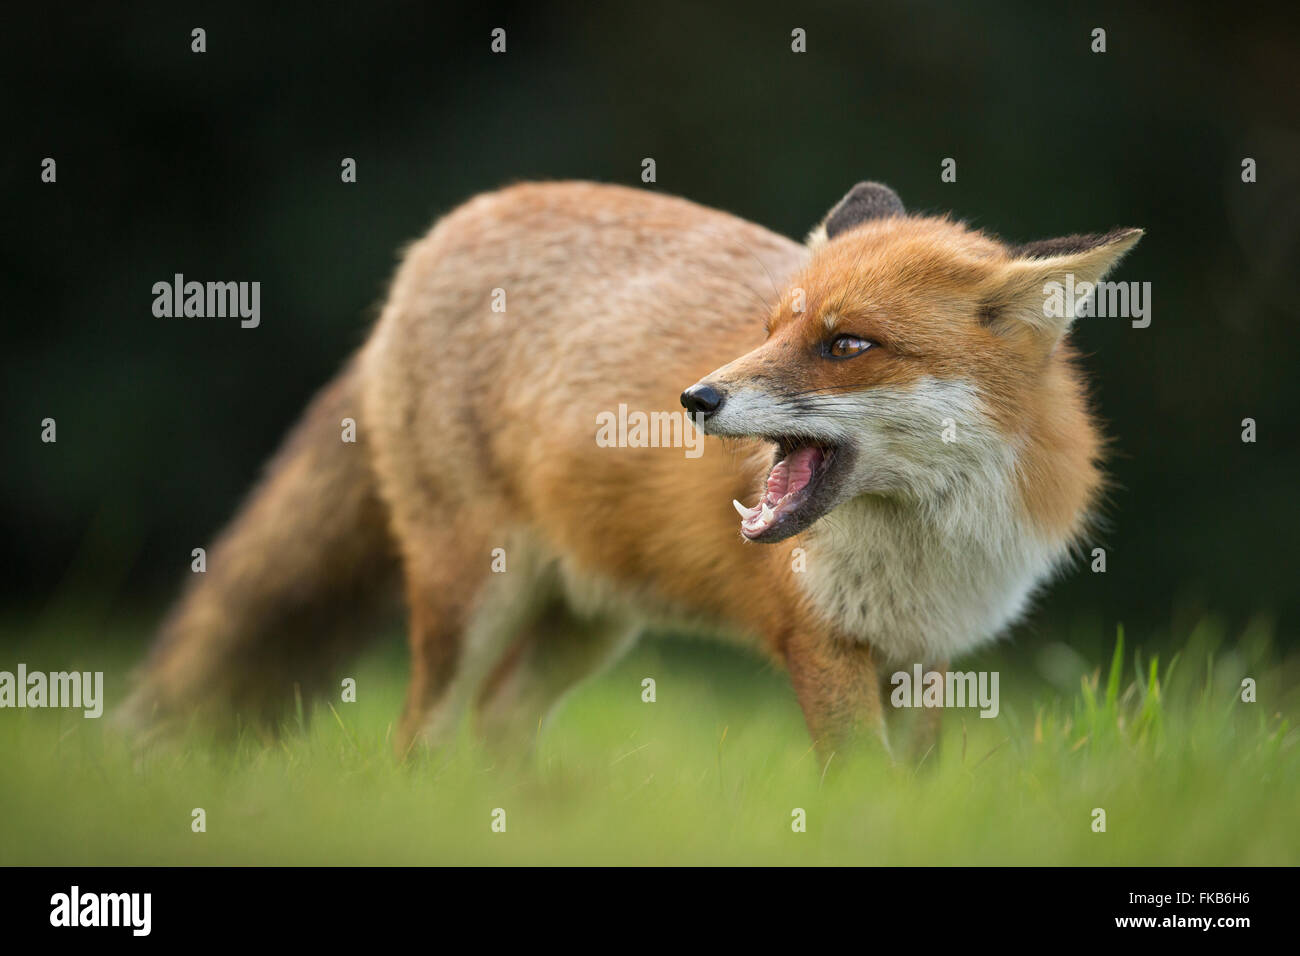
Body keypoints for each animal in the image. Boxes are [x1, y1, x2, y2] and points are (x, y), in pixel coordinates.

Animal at [120, 180, 1141, 763]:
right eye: (769, 327)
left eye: (847, 344)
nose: (697, 398)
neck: (924, 543)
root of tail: (438, 237)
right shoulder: (820, 644)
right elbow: (861, 781)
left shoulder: (923, 658)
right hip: (474, 597)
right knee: (421, 737)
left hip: (589, 621)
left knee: (499, 724)